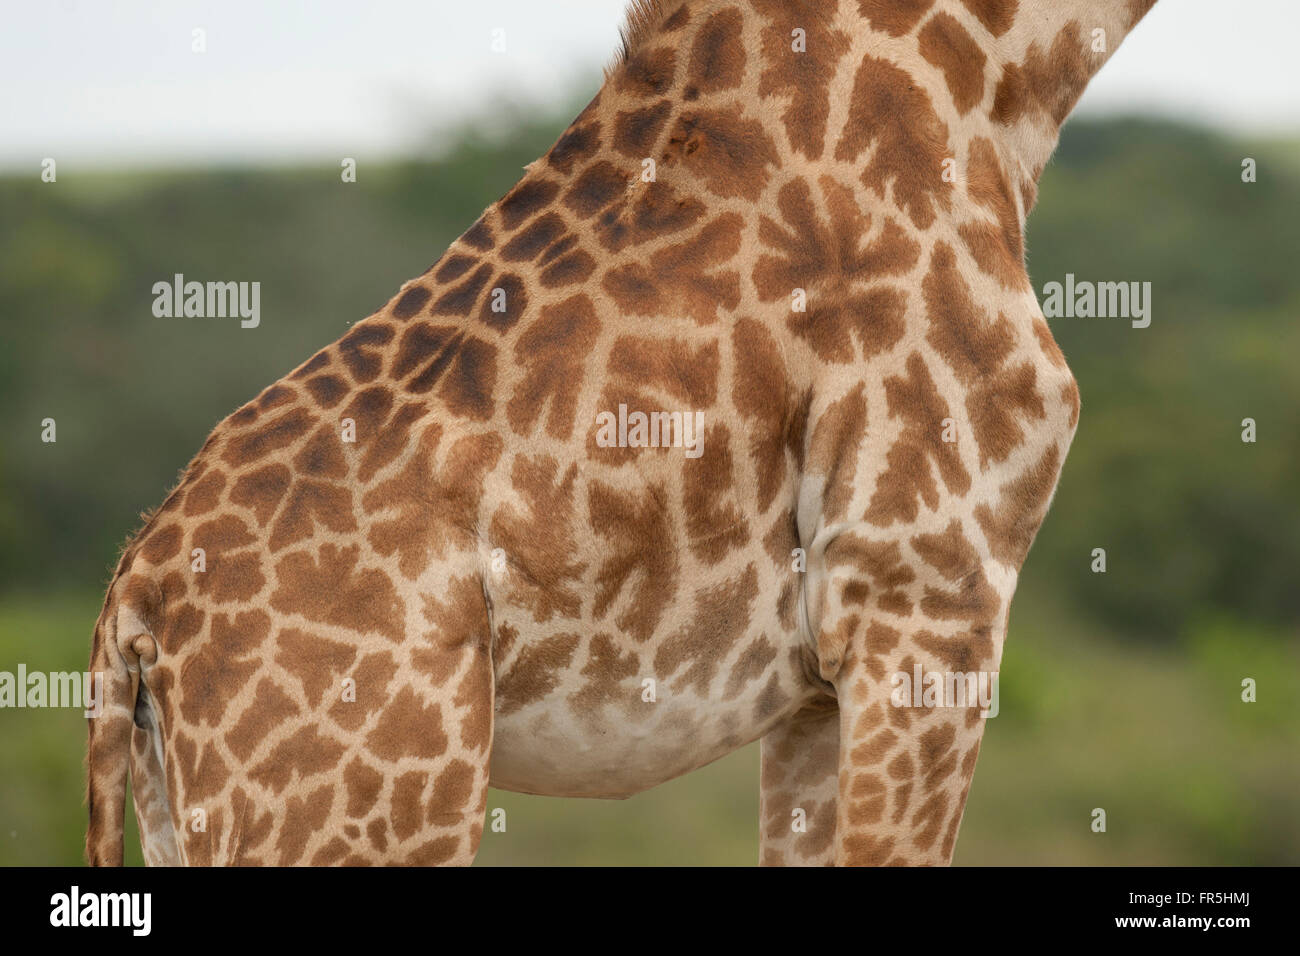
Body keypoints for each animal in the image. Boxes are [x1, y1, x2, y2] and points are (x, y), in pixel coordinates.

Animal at [86, 0, 1159, 866]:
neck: (996, 76)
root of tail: (131, 606)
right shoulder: (928, 595)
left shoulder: (824, 679)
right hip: (362, 816)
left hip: (183, 812)